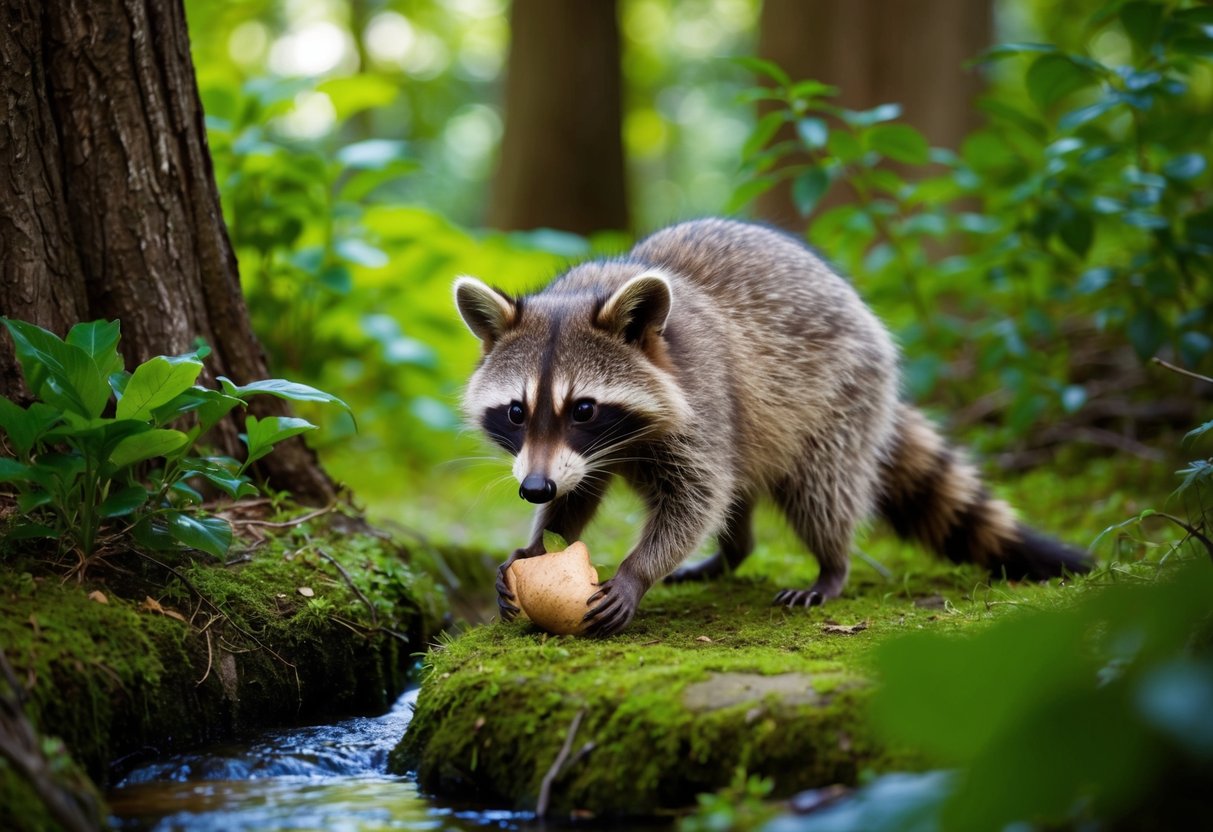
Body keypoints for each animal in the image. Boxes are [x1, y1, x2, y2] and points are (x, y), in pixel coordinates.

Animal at [454, 218, 1090, 636]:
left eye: (583, 409)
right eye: (516, 411)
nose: (532, 489)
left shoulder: (704, 398)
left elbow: (696, 498)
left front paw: (637, 571)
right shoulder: (582, 455)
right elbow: (579, 493)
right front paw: (535, 544)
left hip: (839, 398)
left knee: (820, 492)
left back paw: (831, 565)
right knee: (739, 494)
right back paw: (734, 553)